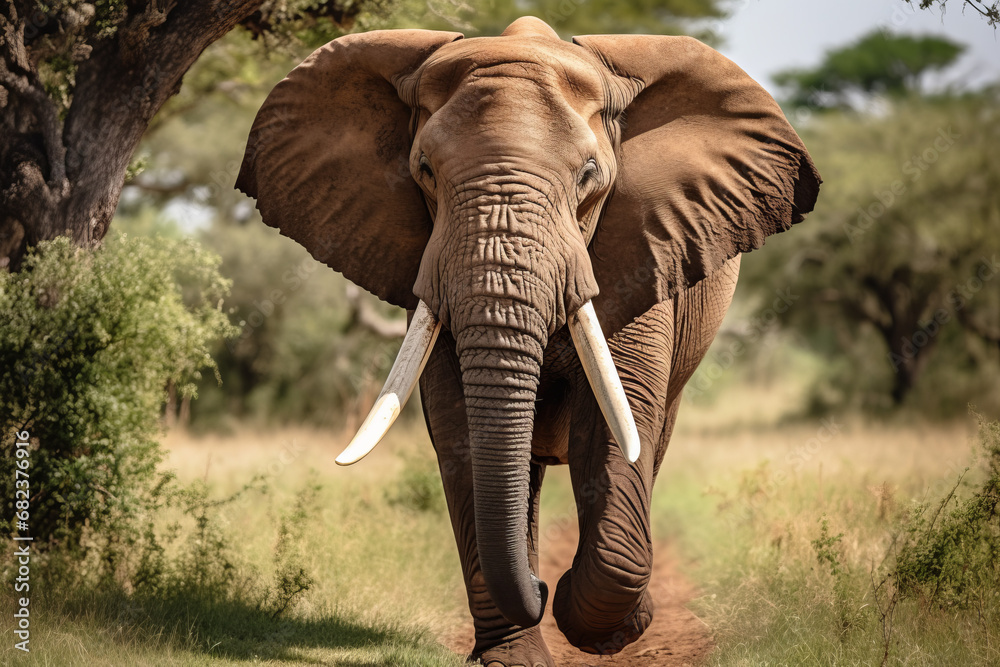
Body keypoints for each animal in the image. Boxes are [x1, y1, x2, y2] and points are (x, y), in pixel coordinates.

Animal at [236, 16, 820, 666]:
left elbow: (613, 429)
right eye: (424, 171)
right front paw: (517, 654)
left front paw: (602, 626)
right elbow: (462, 430)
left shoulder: (644, 247)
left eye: (589, 174)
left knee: (651, 438)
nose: (539, 588)